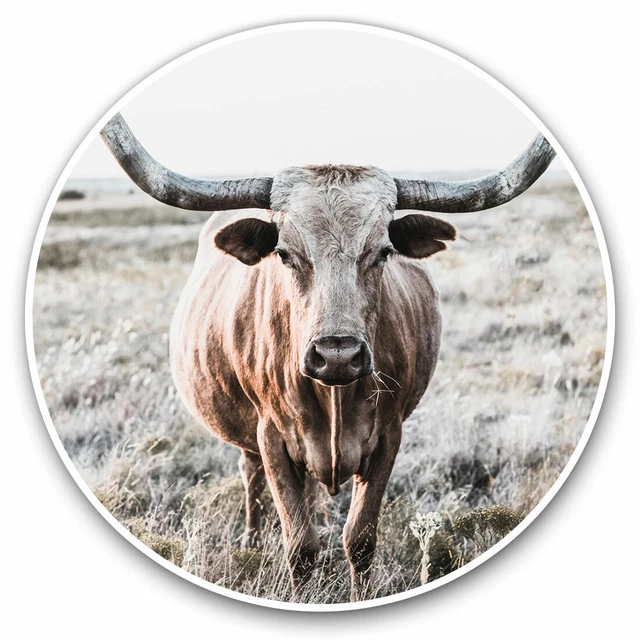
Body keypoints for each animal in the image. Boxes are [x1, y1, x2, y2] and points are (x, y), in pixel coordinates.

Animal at [100, 114, 555, 601]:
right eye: (284, 254)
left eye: (384, 251)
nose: (337, 355)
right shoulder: (271, 437)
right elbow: (300, 545)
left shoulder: (389, 435)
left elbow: (360, 538)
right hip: (250, 439)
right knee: (252, 479)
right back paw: (251, 541)